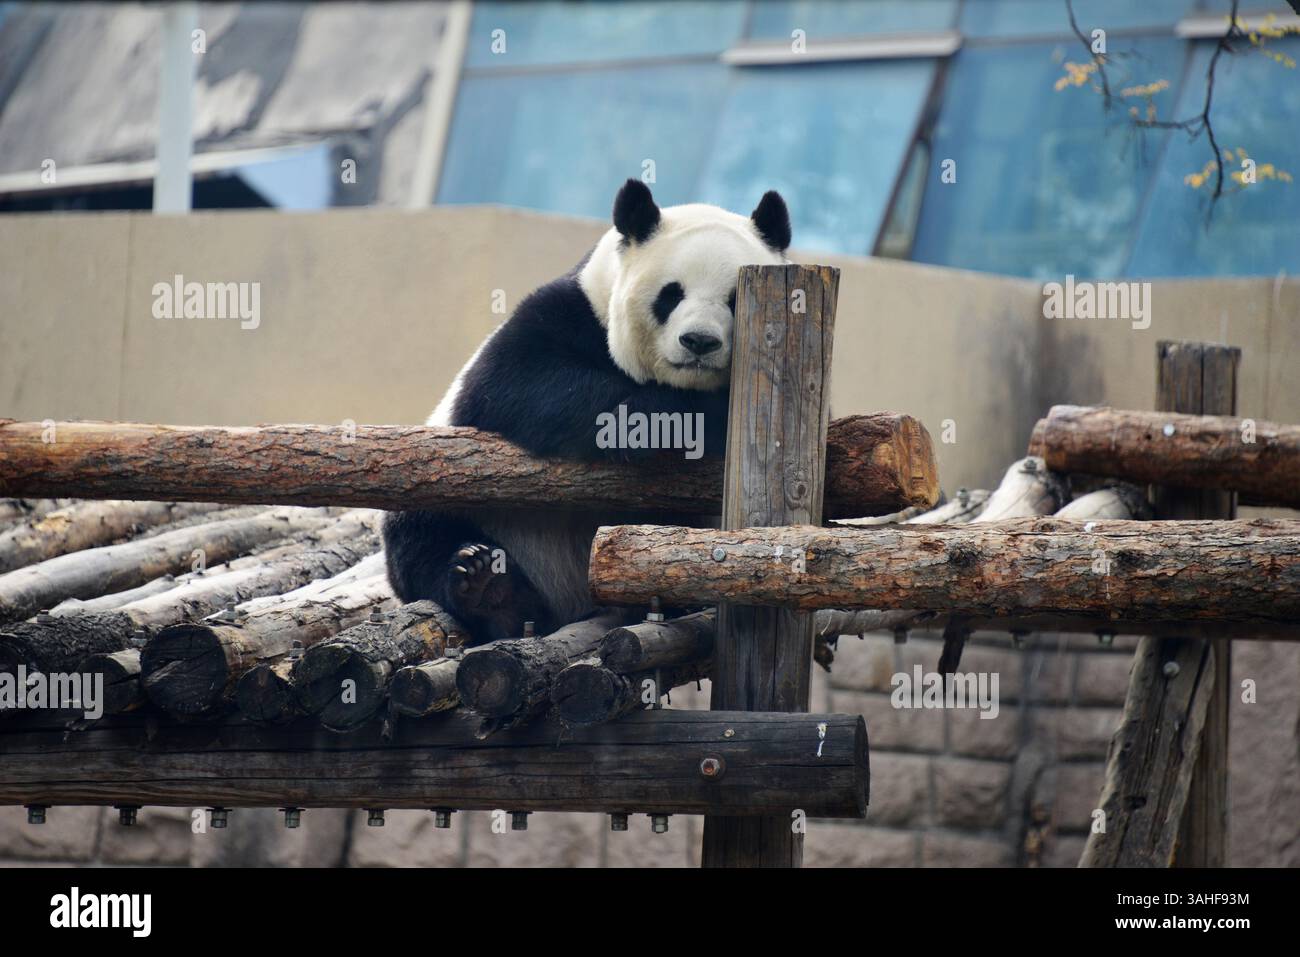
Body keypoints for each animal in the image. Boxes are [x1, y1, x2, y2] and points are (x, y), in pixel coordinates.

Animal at [382, 179, 792, 643]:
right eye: (671, 294)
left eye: (735, 299)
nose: (699, 342)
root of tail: (574, 605)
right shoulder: (571, 309)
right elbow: (515, 381)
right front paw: (667, 420)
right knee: (420, 537)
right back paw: (488, 587)